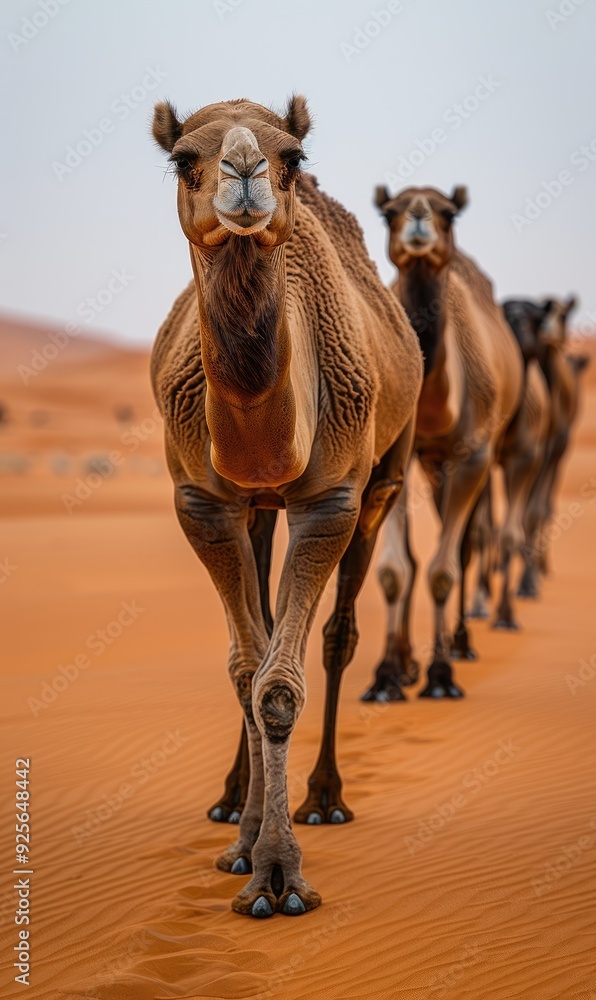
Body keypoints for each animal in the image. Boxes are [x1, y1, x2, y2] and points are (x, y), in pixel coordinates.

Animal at [150, 96, 422, 917]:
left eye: (292, 157)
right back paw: (230, 799)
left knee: (336, 636)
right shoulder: (203, 504)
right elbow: (249, 671)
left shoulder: (330, 499)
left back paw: (326, 797)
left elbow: (278, 684)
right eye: (183, 158)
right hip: (257, 509)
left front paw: (278, 874)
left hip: (383, 478)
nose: (246, 170)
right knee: (265, 632)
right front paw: (245, 847)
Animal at [363, 184, 530, 701]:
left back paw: (459, 644)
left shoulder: (472, 457)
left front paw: (440, 677)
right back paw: (408, 662)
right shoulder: (394, 457)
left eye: (449, 213)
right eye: (388, 213)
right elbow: (396, 569)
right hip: (432, 466)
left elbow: (444, 567)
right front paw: (387, 676)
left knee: (466, 545)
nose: (418, 217)